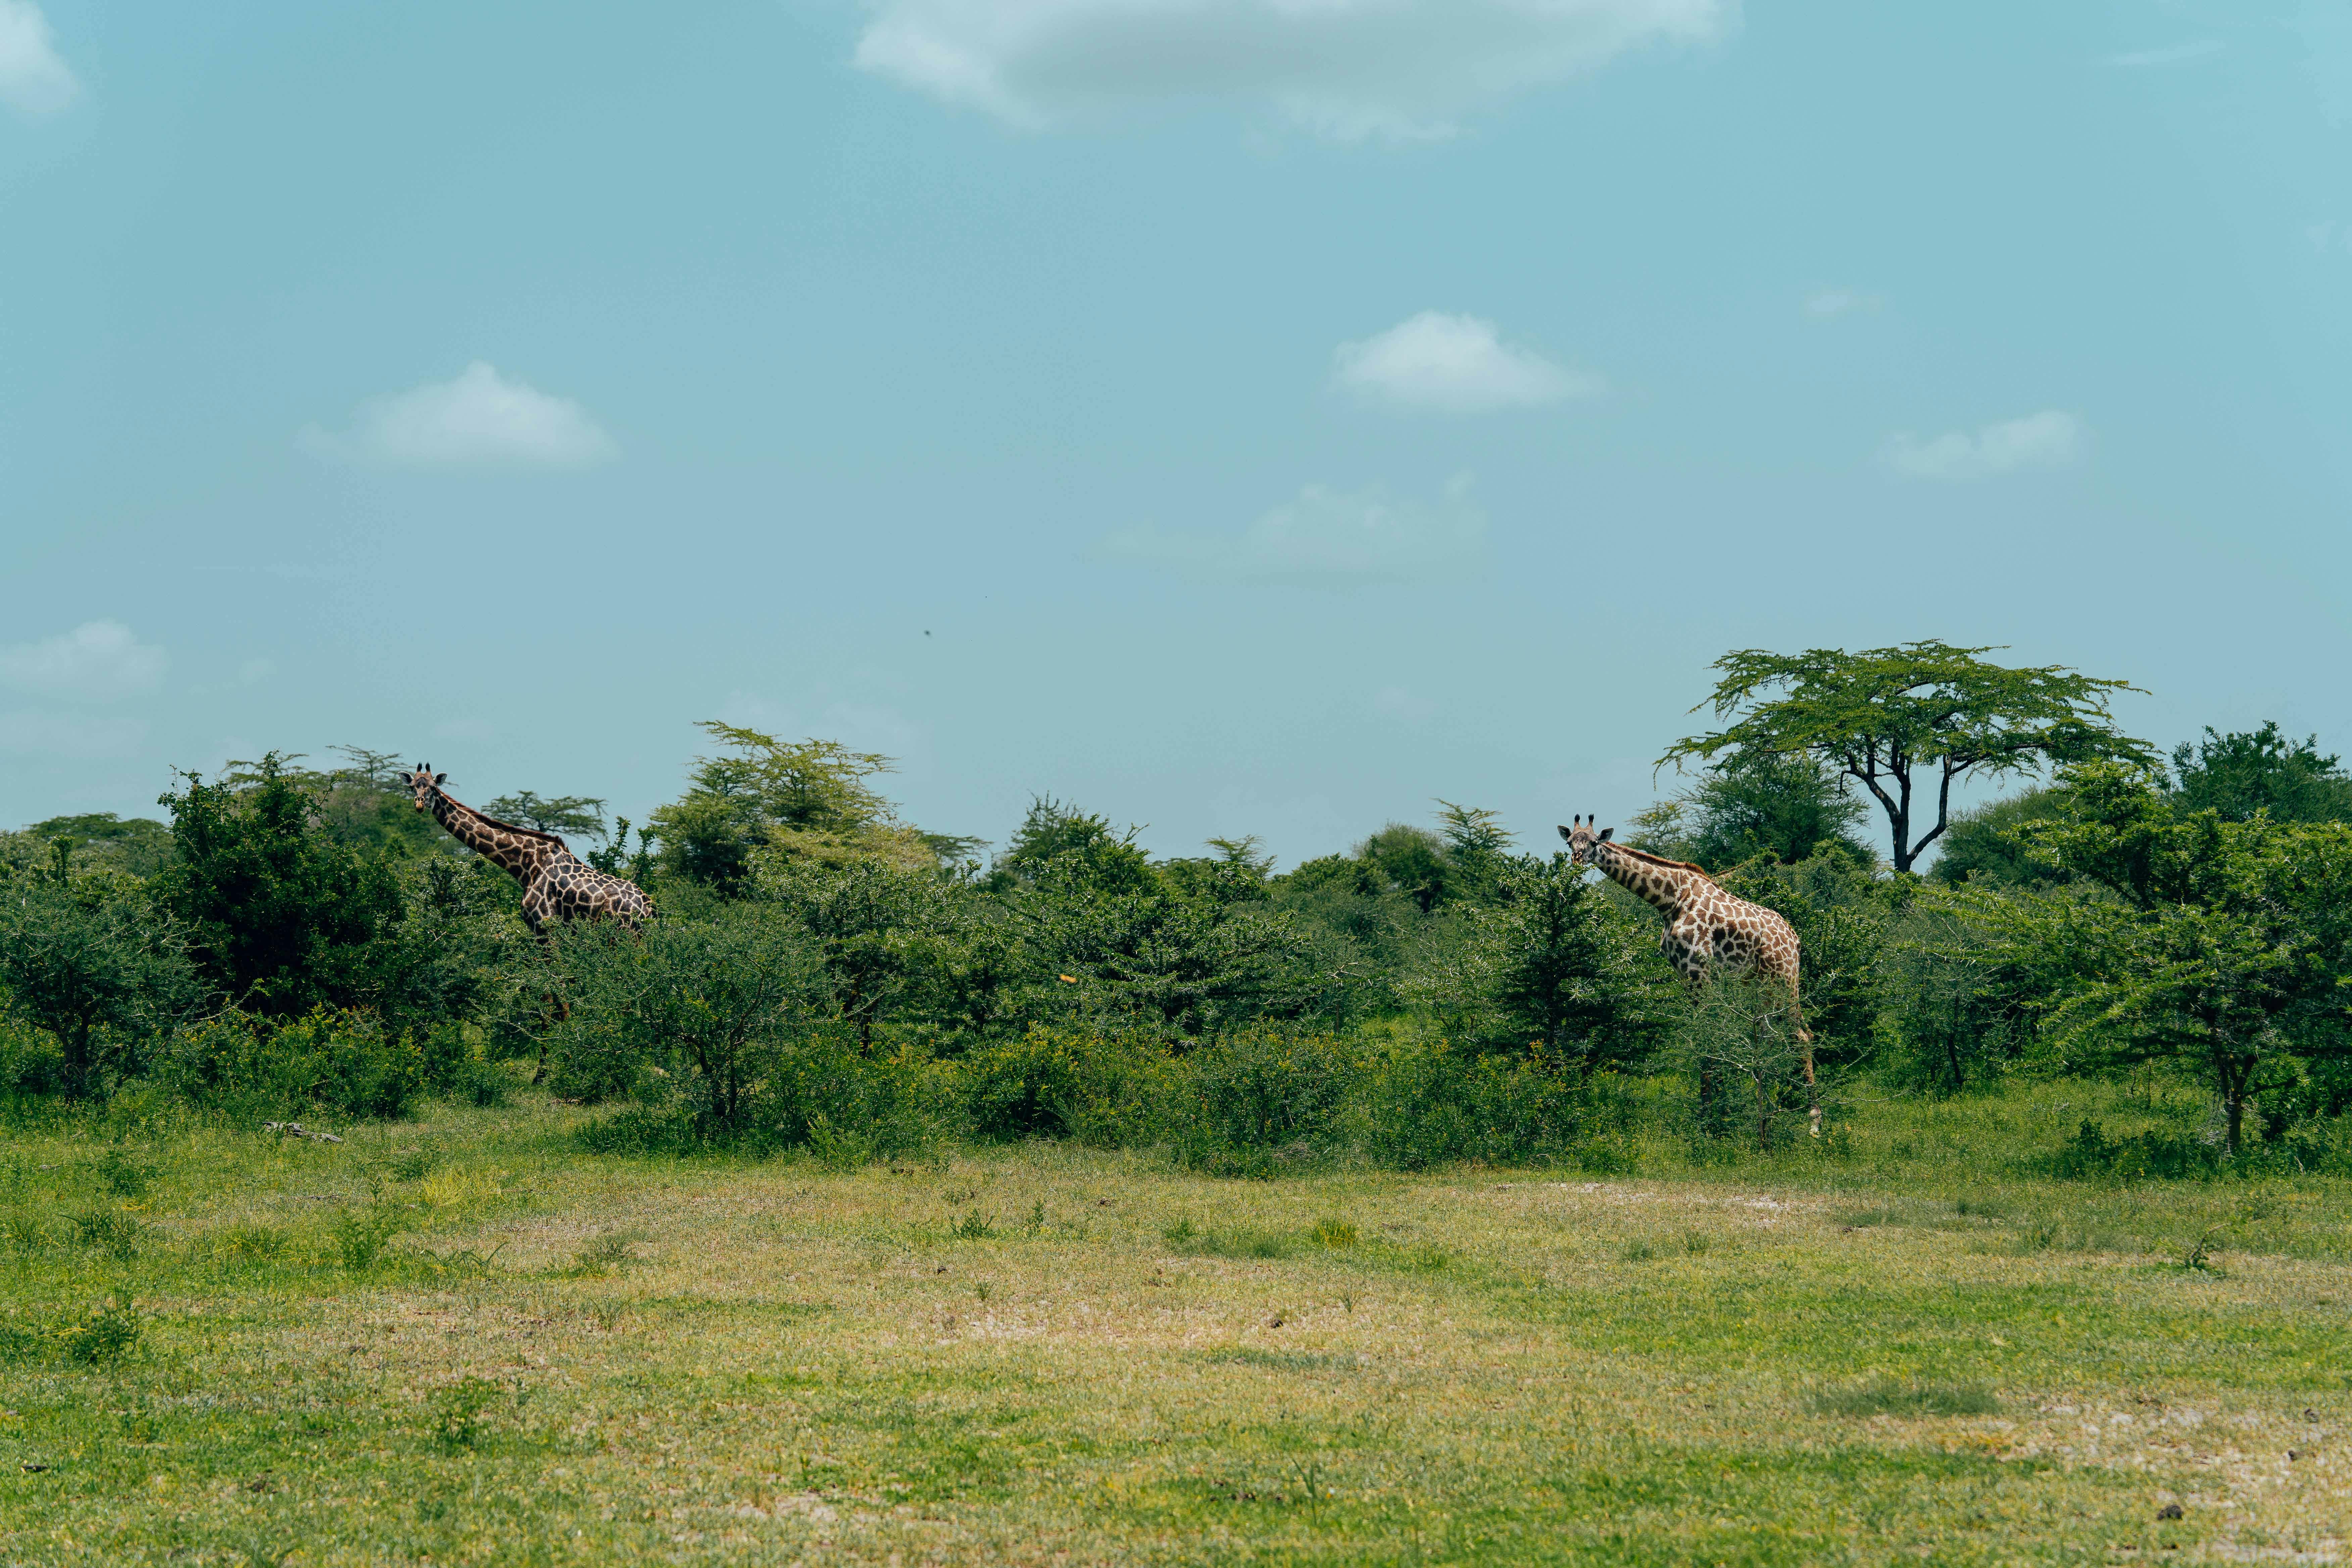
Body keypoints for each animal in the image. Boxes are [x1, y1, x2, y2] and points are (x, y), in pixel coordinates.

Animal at [401, 765, 654, 934]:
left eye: (433, 787)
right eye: (413, 787)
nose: (420, 804)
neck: (526, 863)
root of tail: (651, 911)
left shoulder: (544, 928)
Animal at [1558, 816, 1818, 1136]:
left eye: (1595, 842)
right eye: (1570, 843)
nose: (1577, 860)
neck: (1669, 900)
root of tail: (1795, 939)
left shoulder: (1699, 972)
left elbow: (1707, 1038)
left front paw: (1709, 1120)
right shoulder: (1685, 976)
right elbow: (1704, 1037)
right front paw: (1718, 1113)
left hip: (1782, 980)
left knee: (1800, 1037)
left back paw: (1813, 1121)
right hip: (1759, 985)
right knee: (1774, 1035)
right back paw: (1768, 1112)